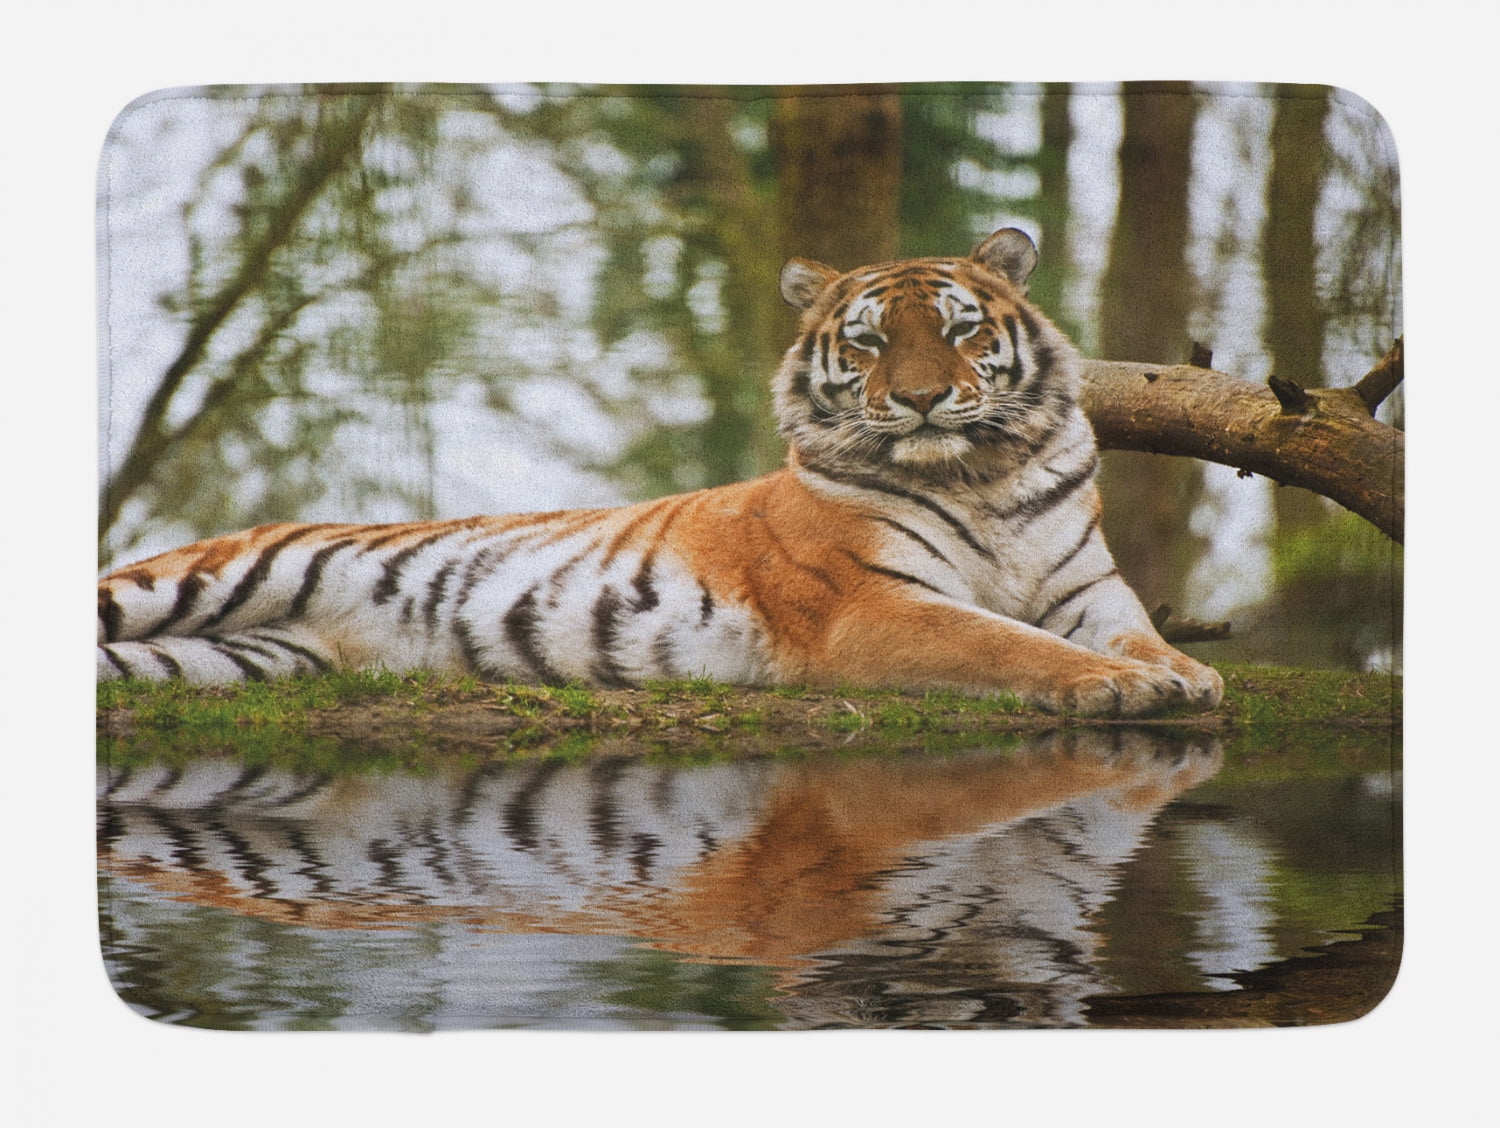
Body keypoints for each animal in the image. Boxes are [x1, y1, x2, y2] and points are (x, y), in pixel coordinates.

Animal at [97, 228, 1223, 717]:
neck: (980, 479)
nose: (918, 400)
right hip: (193, 580)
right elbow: (1006, 643)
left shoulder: (1087, 587)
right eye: (867, 342)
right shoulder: (872, 604)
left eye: (958, 330)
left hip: (238, 659)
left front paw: (1181, 670)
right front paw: (1125, 686)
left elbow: (1131, 629)